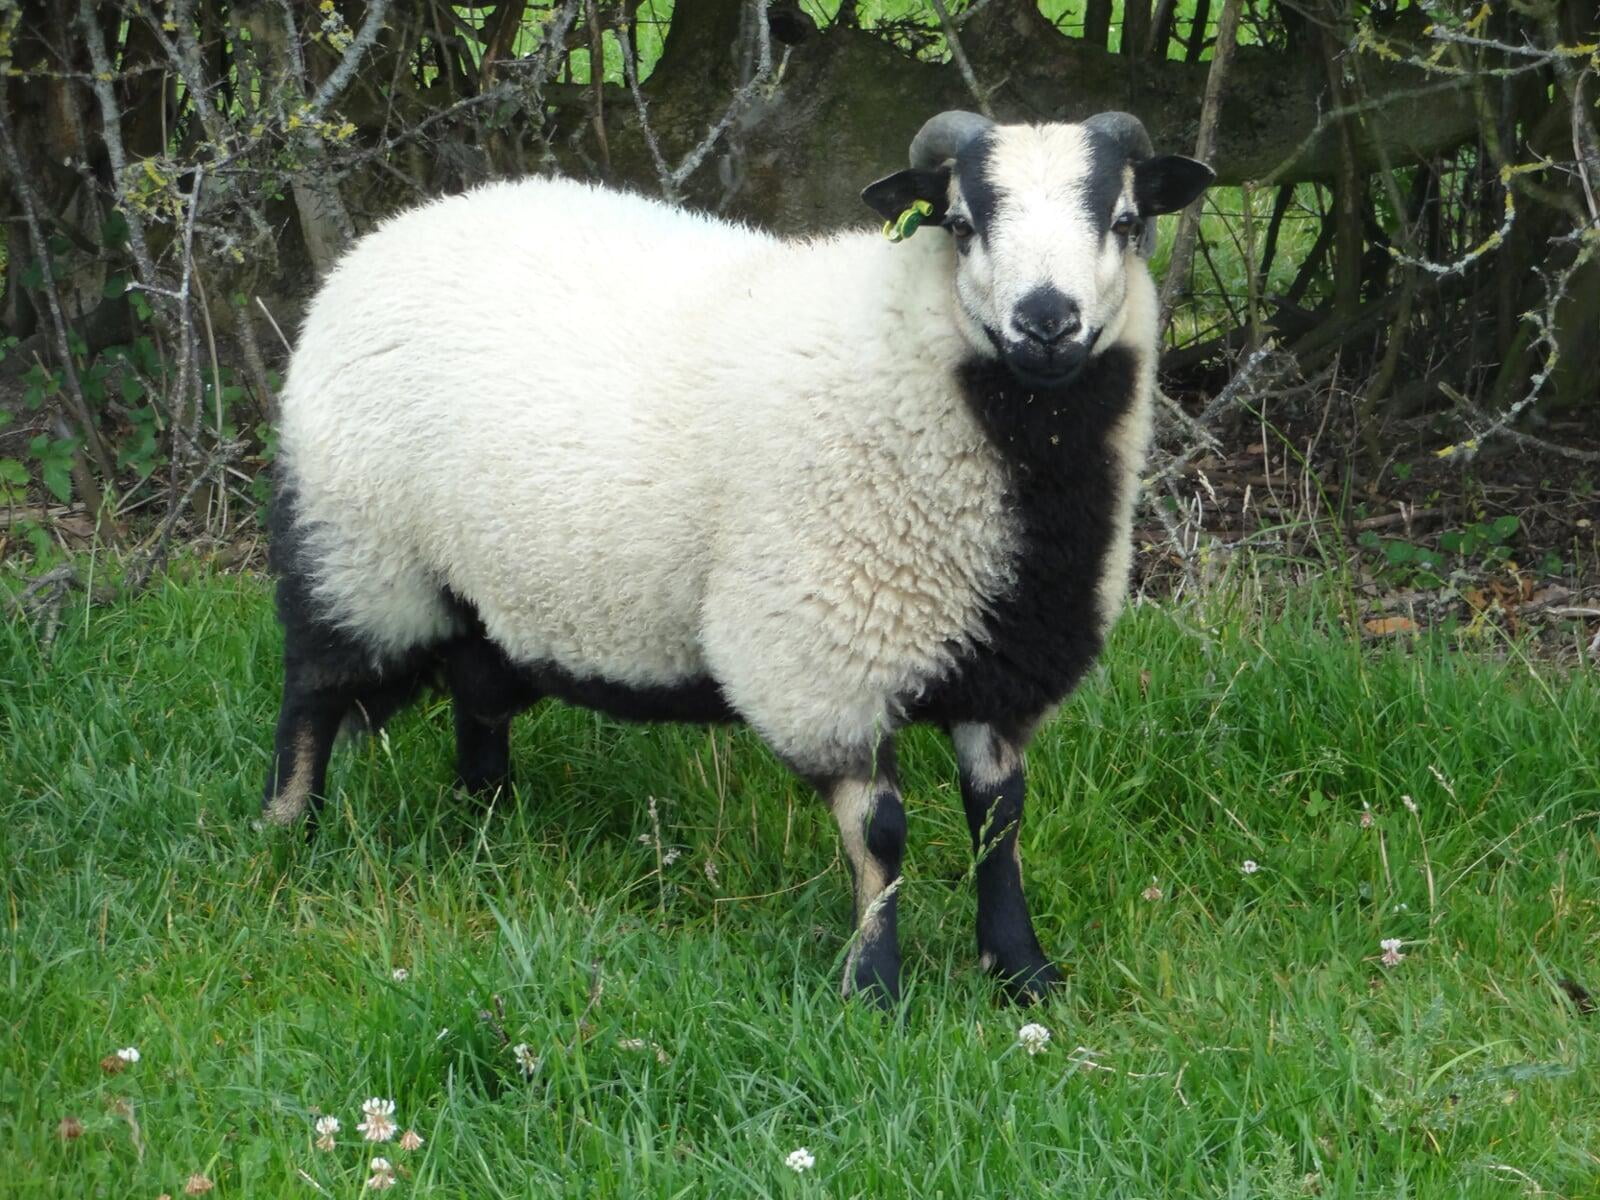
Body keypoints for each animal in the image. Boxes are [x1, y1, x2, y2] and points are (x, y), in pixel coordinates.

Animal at [263, 110, 1214, 1005]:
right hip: (359, 552)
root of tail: (393, 234)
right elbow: (883, 834)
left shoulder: (1005, 669)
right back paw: (287, 836)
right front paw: (873, 988)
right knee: (313, 690)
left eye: (1126, 220)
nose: (1047, 322)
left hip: (477, 581)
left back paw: (487, 817)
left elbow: (1000, 821)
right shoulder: (826, 668)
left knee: (478, 692)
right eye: (961, 222)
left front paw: (1022, 972)